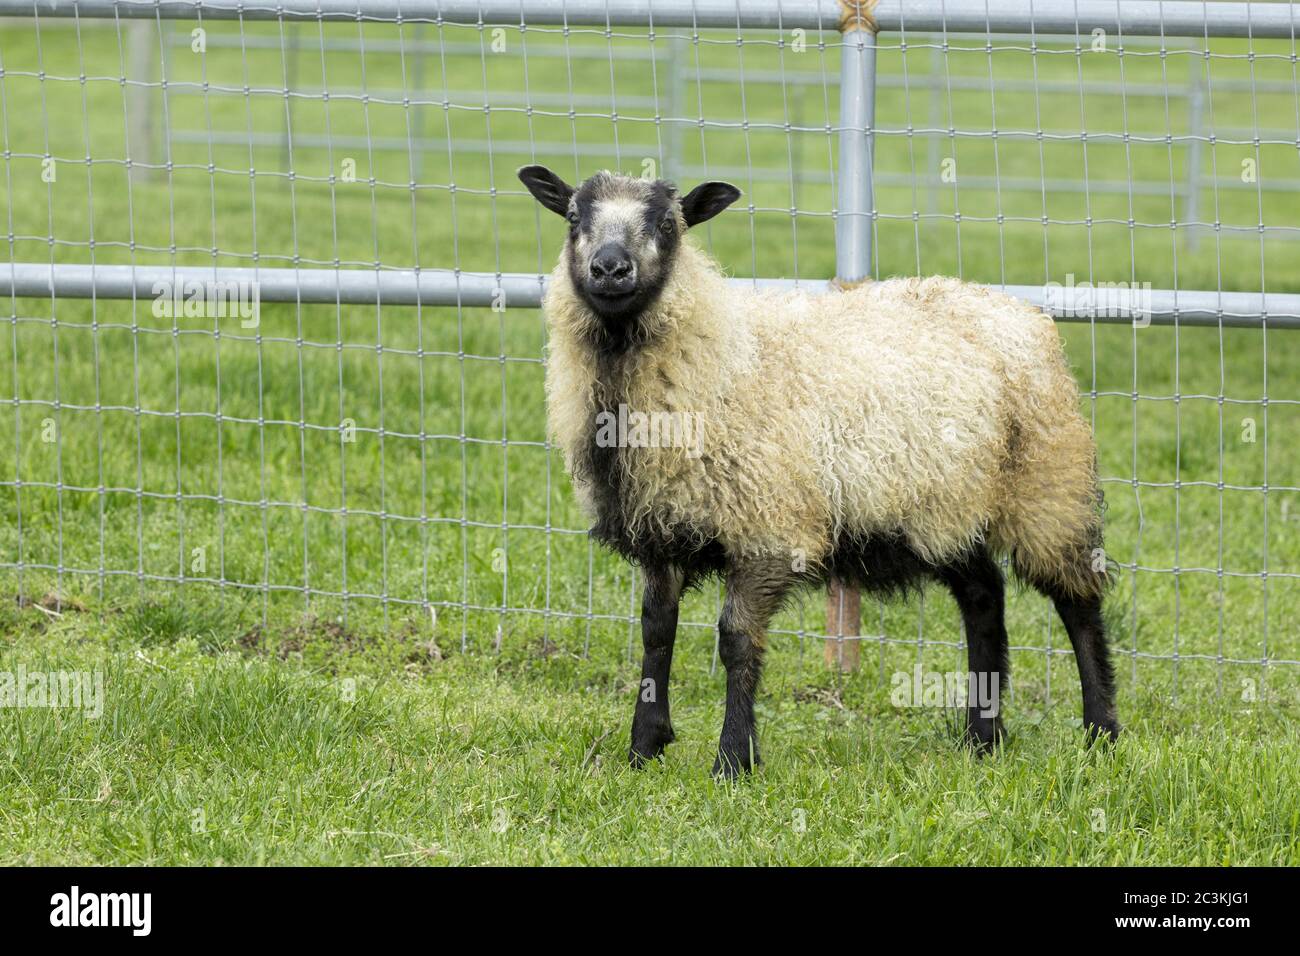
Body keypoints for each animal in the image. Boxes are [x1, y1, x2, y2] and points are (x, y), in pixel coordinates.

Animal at [518, 164, 1119, 777]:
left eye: (667, 223)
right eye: (573, 217)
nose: (610, 268)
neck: (720, 357)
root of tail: (1020, 310)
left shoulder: (767, 528)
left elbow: (735, 641)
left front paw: (733, 759)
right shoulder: (660, 528)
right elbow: (656, 631)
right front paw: (644, 747)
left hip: (1048, 484)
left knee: (1079, 604)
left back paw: (1101, 734)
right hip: (947, 507)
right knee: (984, 599)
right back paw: (983, 738)